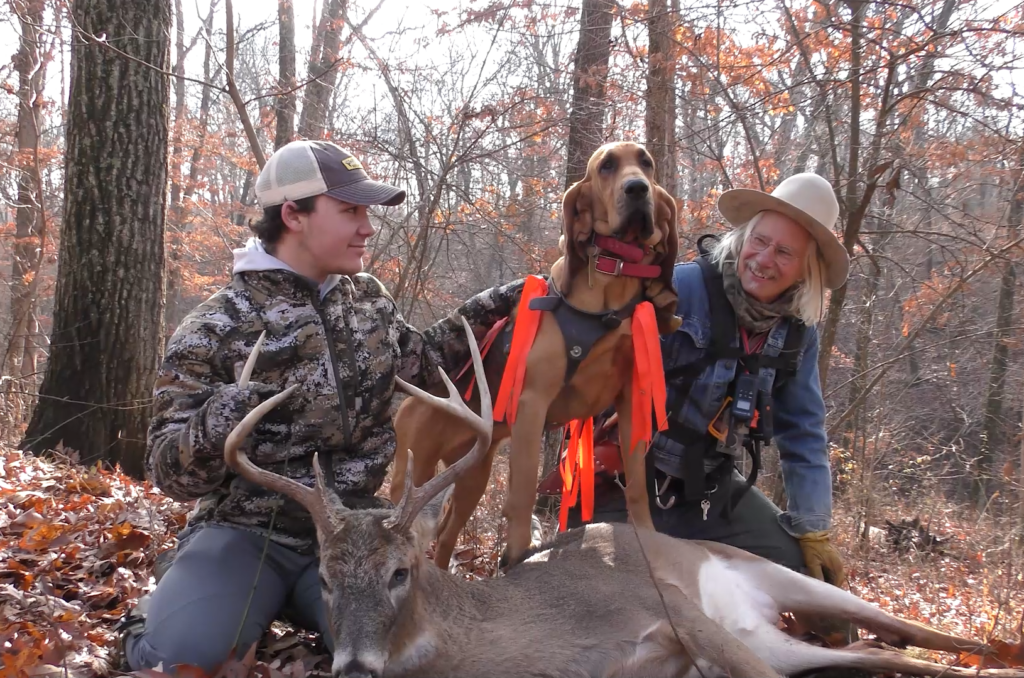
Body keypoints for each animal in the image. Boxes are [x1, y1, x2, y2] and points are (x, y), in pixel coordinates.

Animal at [224, 318, 1024, 678]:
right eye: (325, 578)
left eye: (400, 572)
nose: (355, 667)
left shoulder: (663, 609)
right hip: (780, 633)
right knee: (884, 653)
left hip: (779, 574)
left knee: (919, 631)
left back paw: (996, 649)